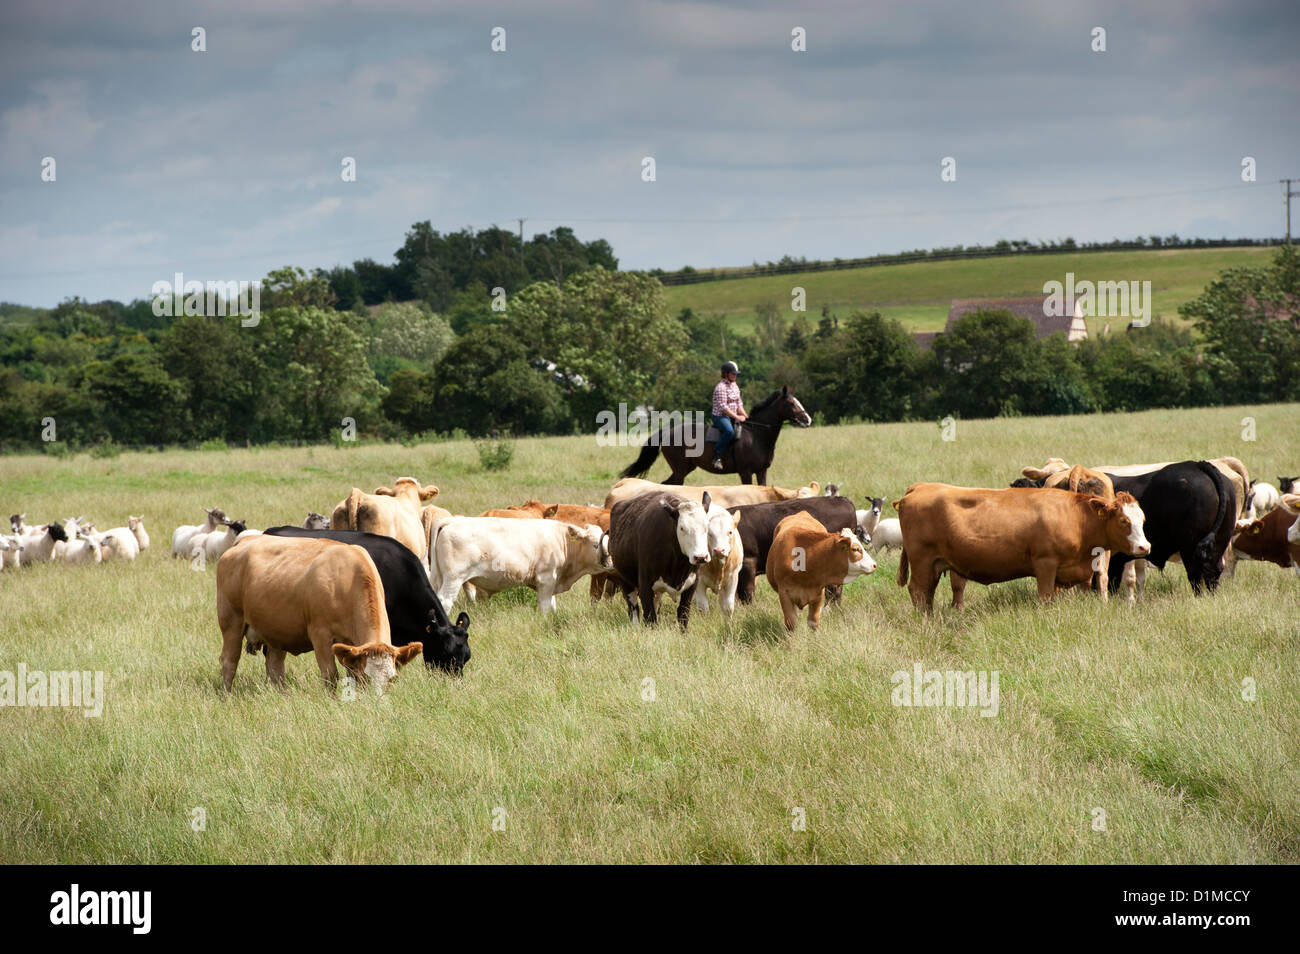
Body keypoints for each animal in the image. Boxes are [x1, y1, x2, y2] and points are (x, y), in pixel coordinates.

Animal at [215, 535, 422, 692]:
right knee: (229, 661)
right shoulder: (320, 635)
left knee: (275, 666)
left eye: (393, 679)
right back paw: (227, 694)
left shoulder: (350, 646)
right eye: (366, 677)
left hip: (276, 629)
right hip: (231, 621)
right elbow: (330, 675)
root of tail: (243, 541)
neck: (348, 581)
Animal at [427, 516, 611, 615]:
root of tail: (452, 520)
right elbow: (545, 607)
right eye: (596, 544)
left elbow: (552, 606)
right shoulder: (546, 579)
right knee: (444, 601)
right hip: (453, 579)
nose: (610, 562)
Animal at [608, 491, 714, 628]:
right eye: (682, 528)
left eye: (706, 527)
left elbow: (683, 615)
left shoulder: (692, 584)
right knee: (634, 609)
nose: (700, 557)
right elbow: (650, 617)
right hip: (625, 580)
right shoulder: (645, 584)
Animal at [619, 386, 812, 485]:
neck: (757, 435)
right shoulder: (746, 472)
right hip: (680, 470)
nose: (807, 420)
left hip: (686, 468)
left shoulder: (761, 472)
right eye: (791, 403)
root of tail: (667, 431)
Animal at [895, 484, 1150, 613]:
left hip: (934, 564)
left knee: (927, 592)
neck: (1077, 518)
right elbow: (1045, 597)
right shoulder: (1045, 563)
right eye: (1124, 521)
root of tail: (919, 487)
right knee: (918, 591)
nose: (1144, 546)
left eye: (1143, 519)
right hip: (922, 560)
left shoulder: (1080, 570)